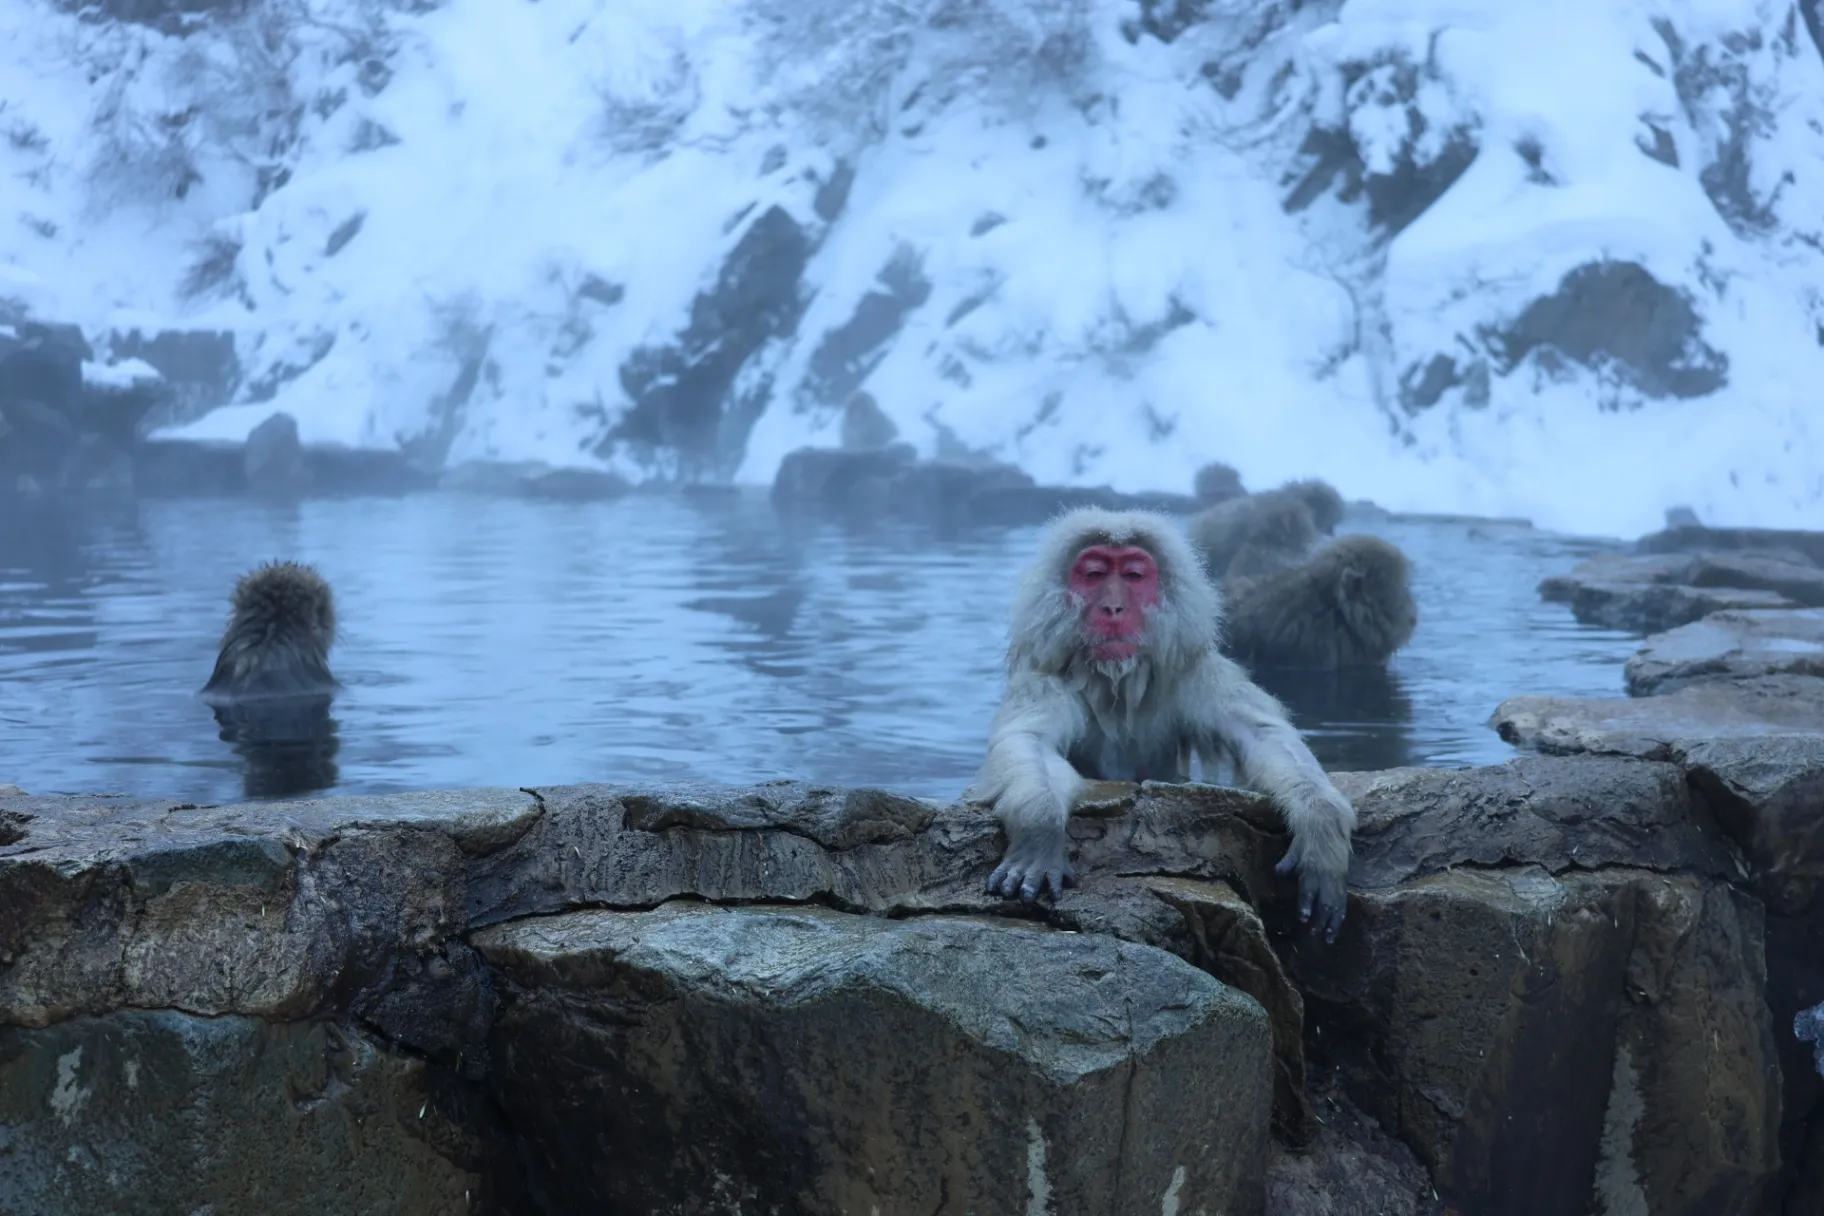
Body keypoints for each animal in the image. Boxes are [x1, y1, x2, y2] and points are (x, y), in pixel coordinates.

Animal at [970, 508, 1356, 941]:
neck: (1116, 682)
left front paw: (1321, 826)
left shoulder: (1197, 674)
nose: (1114, 608)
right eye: (1095, 574)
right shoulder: (1046, 680)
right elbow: (1028, 740)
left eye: (1134, 576)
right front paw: (1040, 830)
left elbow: (1265, 736)